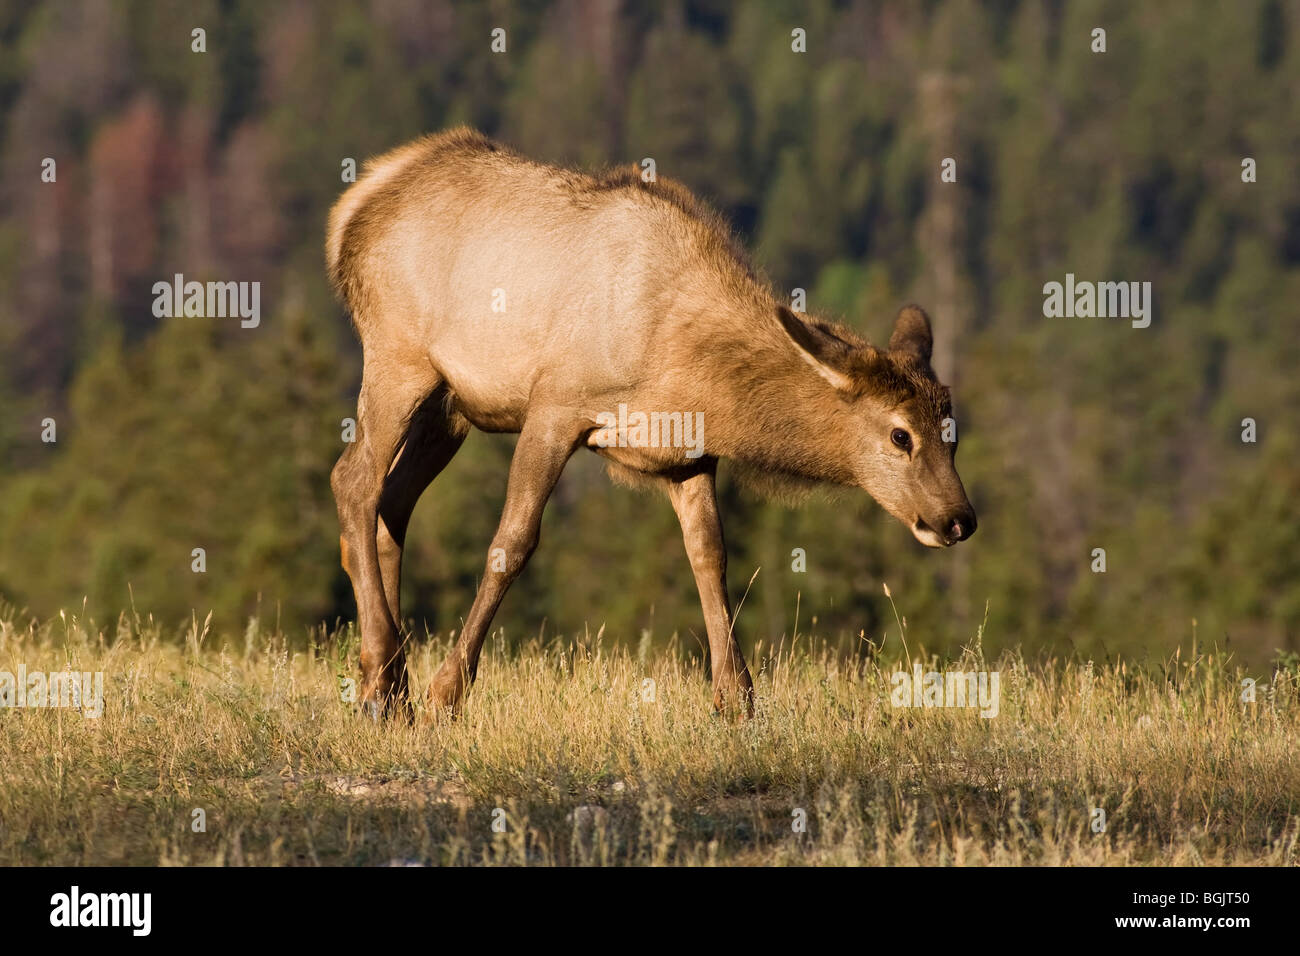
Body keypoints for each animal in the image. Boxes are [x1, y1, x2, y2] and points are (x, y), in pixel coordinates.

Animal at [326, 127, 976, 721]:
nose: (959, 519)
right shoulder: (556, 405)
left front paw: (737, 700)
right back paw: (385, 680)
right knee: (353, 481)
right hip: (397, 354)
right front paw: (448, 693)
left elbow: (710, 555)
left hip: (452, 405)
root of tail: (351, 213)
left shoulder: (689, 454)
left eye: (954, 432)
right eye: (900, 434)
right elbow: (513, 543)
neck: (688, 373)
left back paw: (385, 683)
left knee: (393, 503)